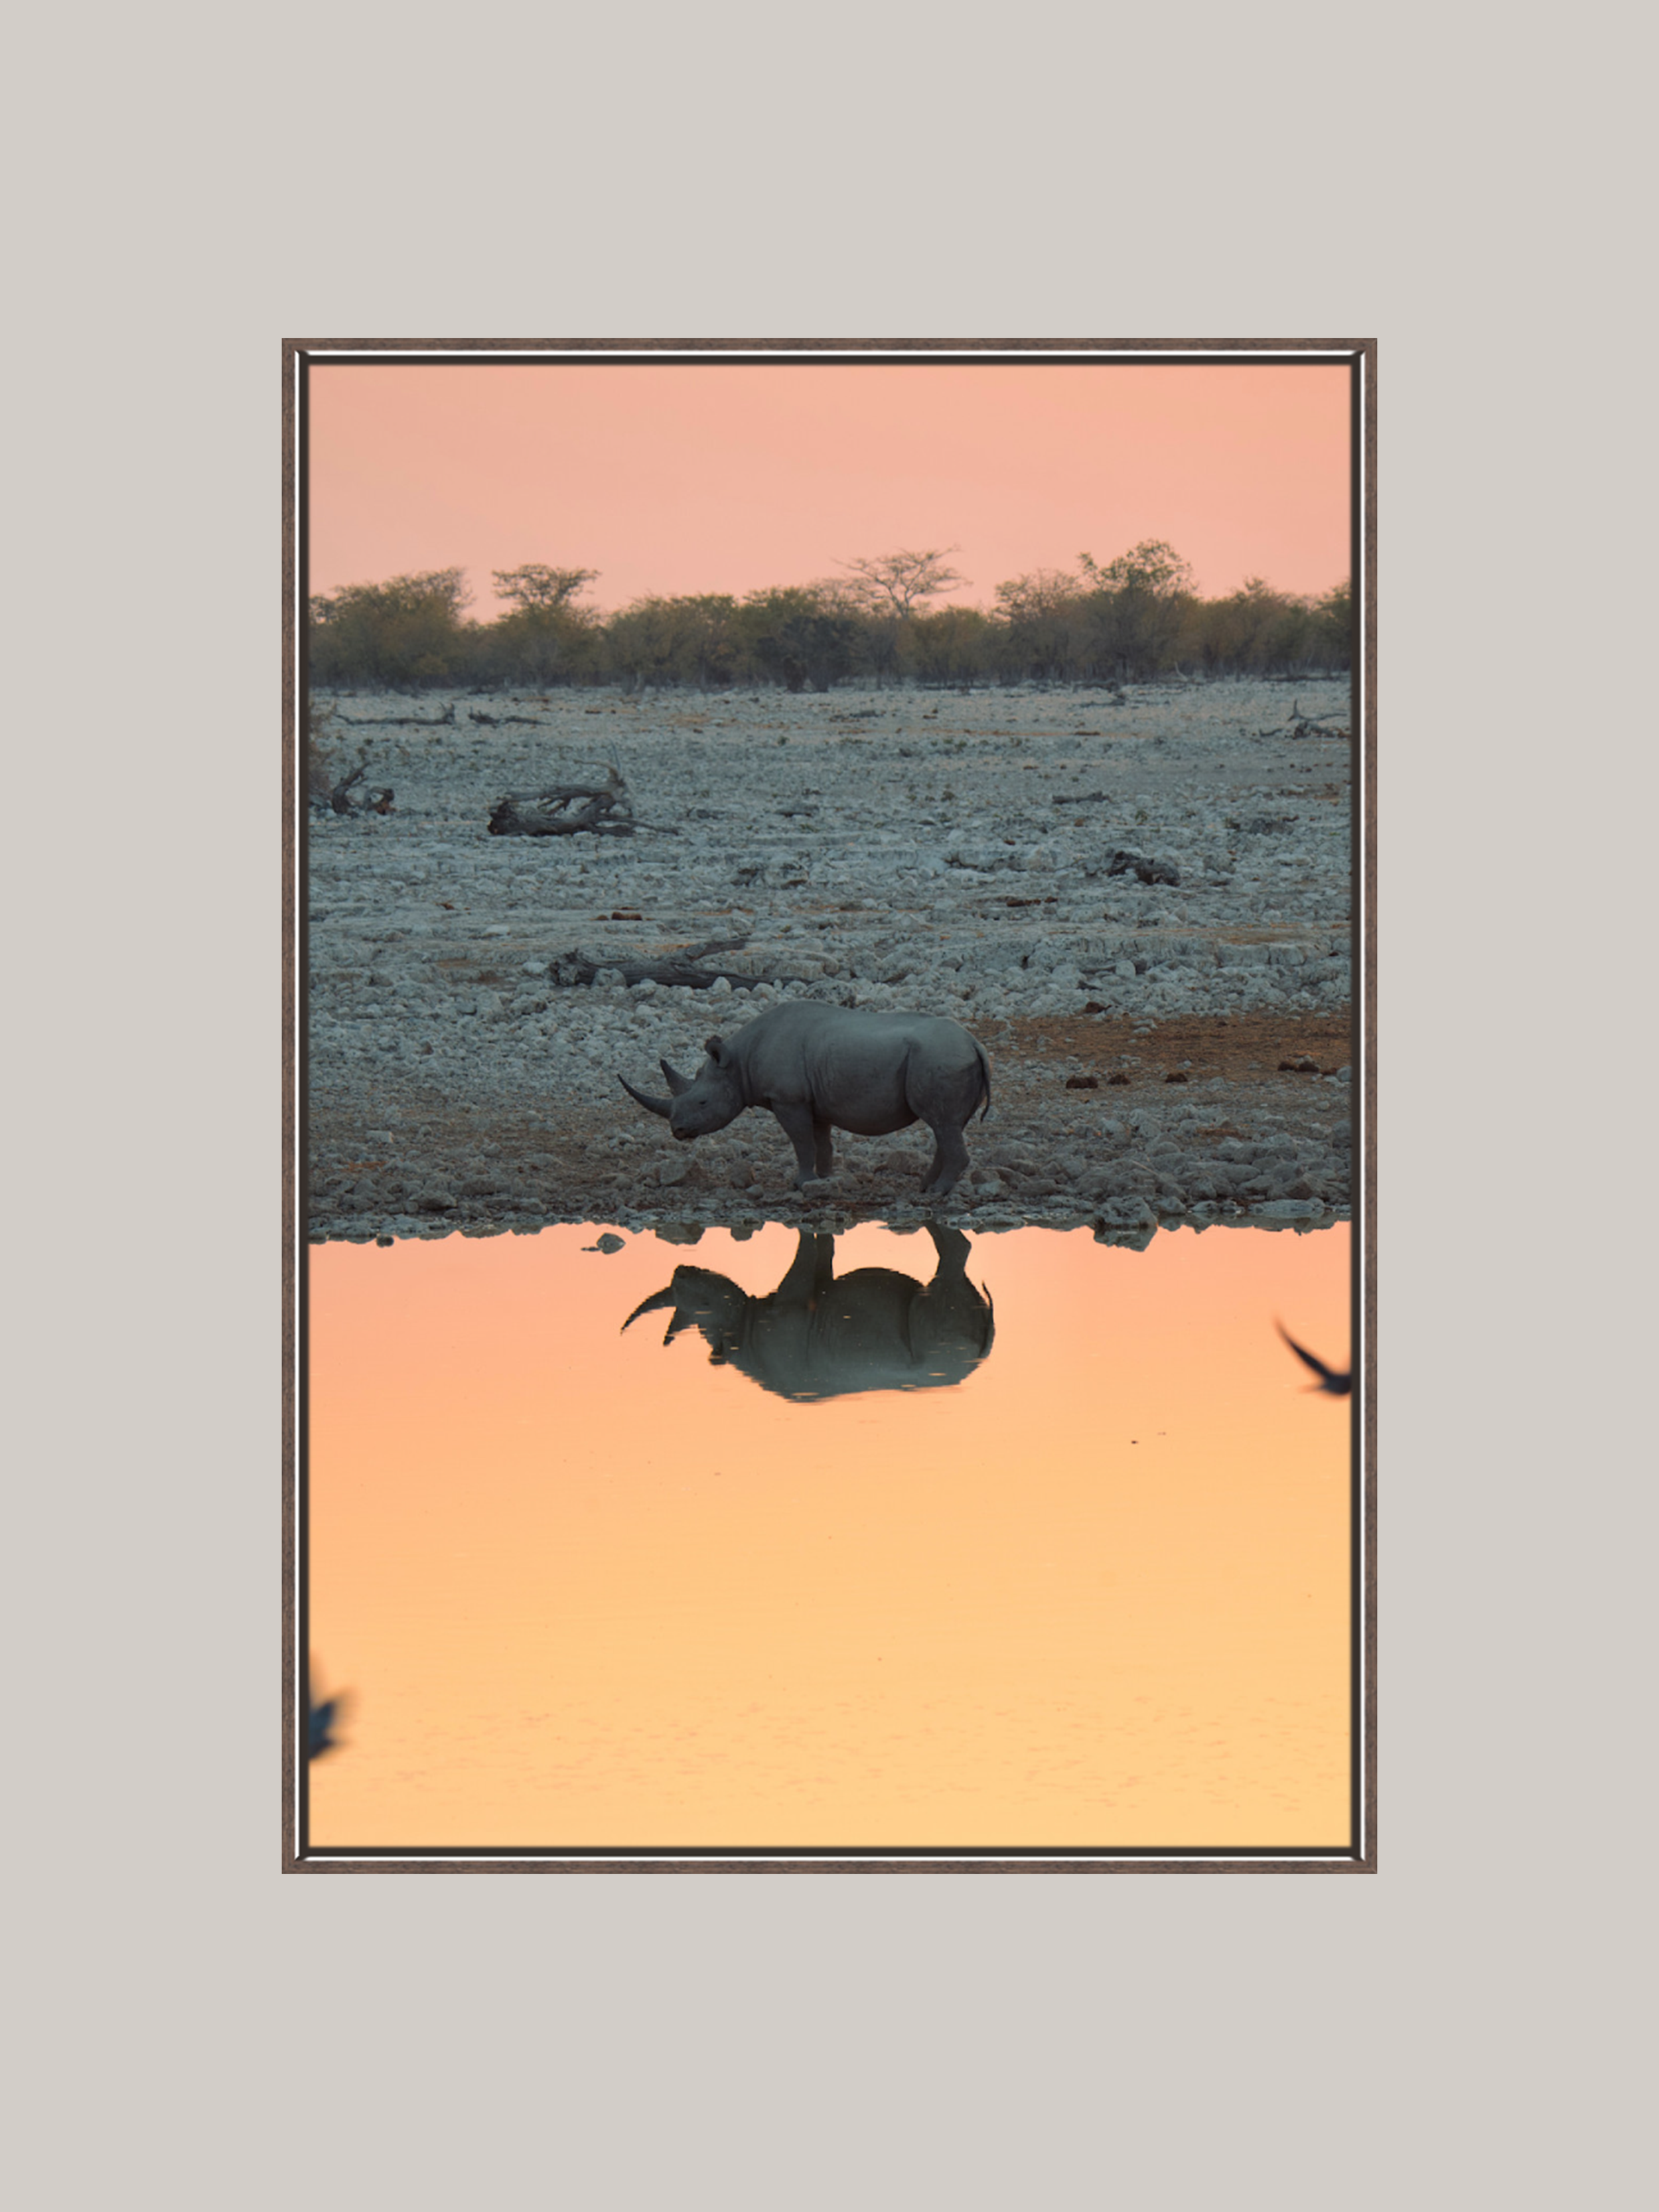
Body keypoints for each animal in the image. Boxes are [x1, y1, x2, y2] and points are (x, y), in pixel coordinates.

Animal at [619, 1000, 991, 1194]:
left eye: (702, 1103)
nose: (678, 1131)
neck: (738, 1063)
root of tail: (974, 1042)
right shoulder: (815, 1101)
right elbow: (821, 1140)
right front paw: (825, 1179)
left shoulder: (788, 1099)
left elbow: (801, 1140)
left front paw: (801, 1183)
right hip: (947, 1058)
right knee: (948, 1126)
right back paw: (926, 1187)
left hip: (941, 1059)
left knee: (942, 1123)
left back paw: (938, 1192)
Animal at [622, 1225, 994, 1402]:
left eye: (702, 1302)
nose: (682, 1269)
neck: (742, 1330)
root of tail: (980, 1356)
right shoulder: (815, 1292)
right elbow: (823, 1250)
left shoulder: (795, 1302)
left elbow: (806, 1250)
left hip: (941, 1343)